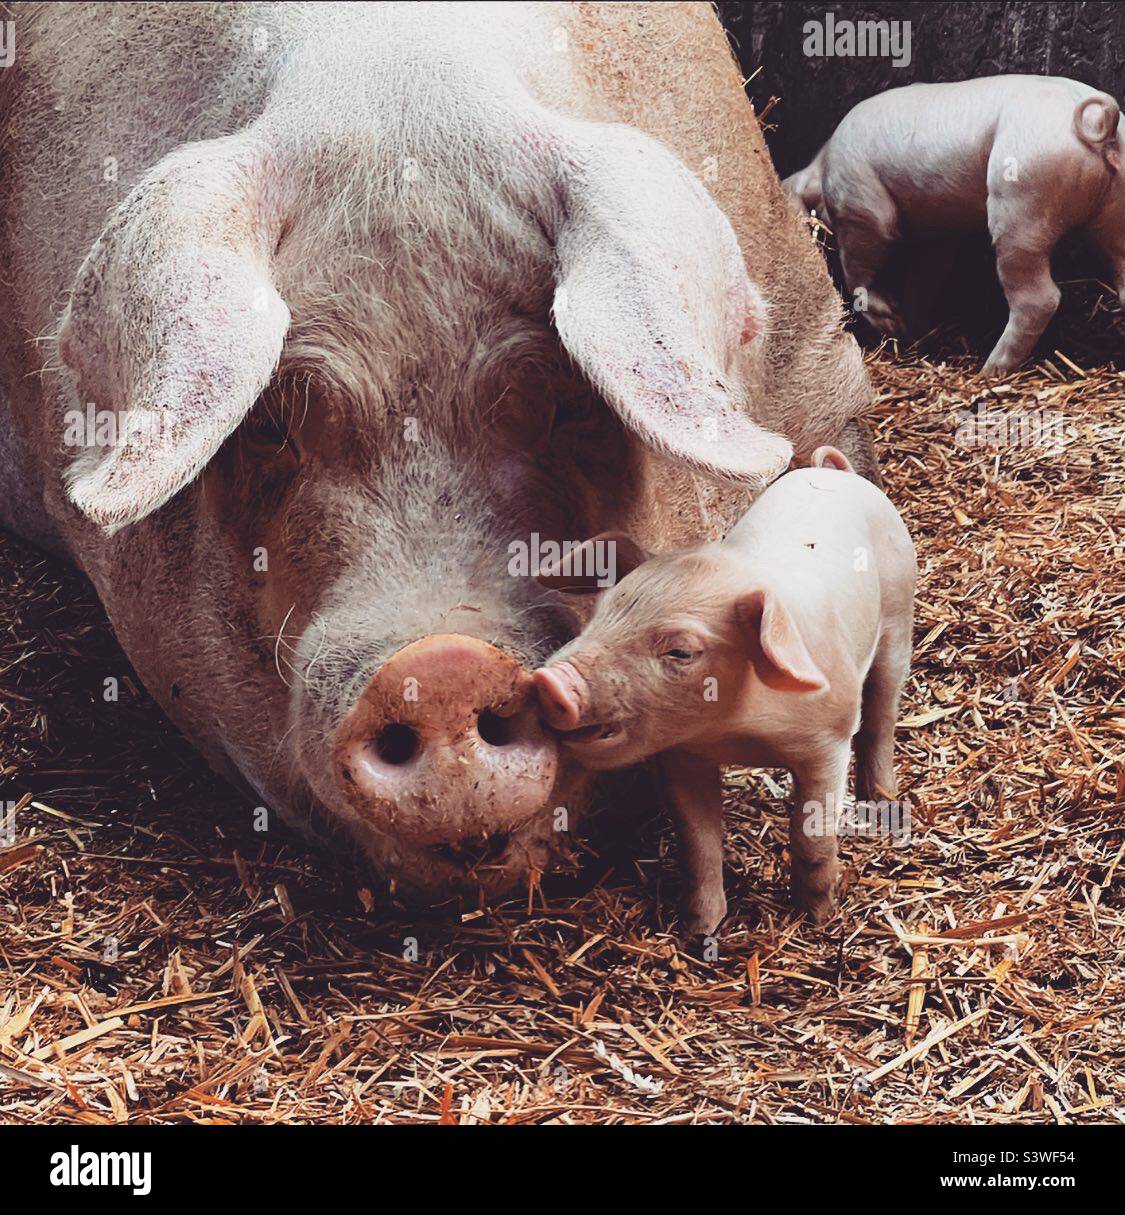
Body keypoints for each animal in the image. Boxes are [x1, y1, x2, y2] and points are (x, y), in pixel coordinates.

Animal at [533, 447, 916, 933]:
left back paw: (879, 802)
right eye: (601, 612)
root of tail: (836, 472)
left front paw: (817, 916)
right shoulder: (683, 755)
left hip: (899, 610)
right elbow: (698, 843)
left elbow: (811, 836)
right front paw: (700, 929)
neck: (740, 733)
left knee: (882, 711)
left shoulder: (828, 742)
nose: (549, 681)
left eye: (680, 651)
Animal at [784, 75, 1125, 374]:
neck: (822, 167)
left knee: (1039, 297)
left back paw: (989, 370)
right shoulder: (937, 231)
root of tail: (1101, 123)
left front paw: (892, 321)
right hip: (1114, 208)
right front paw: (912, 330)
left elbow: (862, 257)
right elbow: (926, 274)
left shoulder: (858, 202)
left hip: (1023, 201)